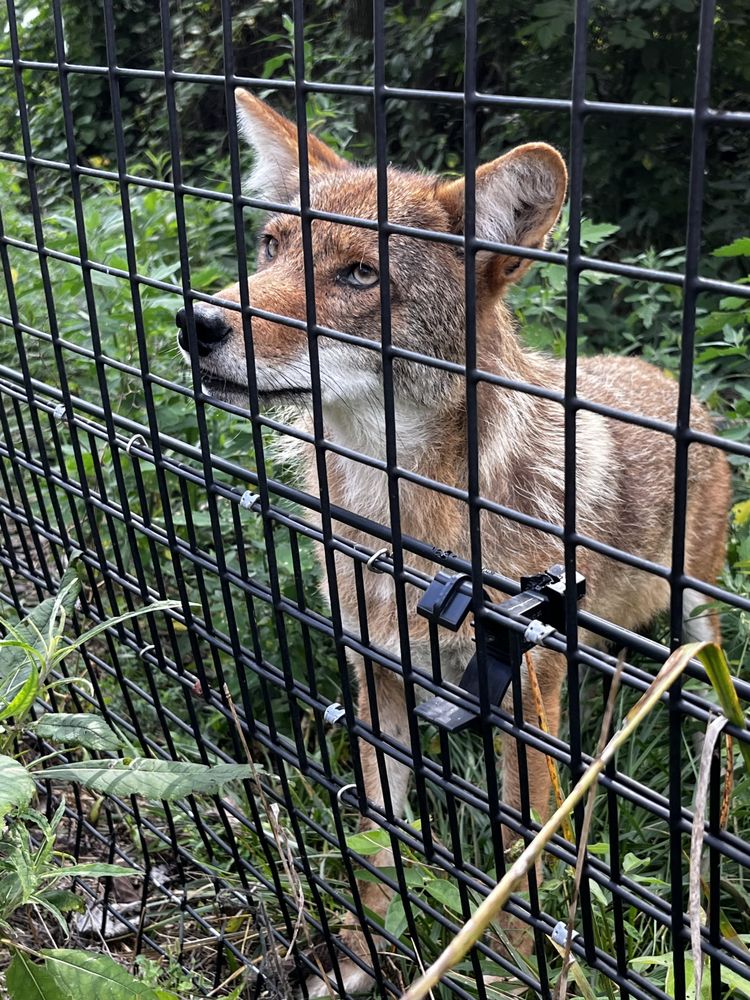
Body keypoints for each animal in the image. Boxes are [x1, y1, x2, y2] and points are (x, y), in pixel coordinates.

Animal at [177, 91, 731, 996]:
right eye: (270, 248)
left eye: (360, 274)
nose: (195, 323)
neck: (404, 526)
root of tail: (671, 381)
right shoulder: (376, 680)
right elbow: (377, 840)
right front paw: (358, 955)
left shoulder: (520, 706)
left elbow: (518, 857)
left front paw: (505, 969)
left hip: (696, 627)